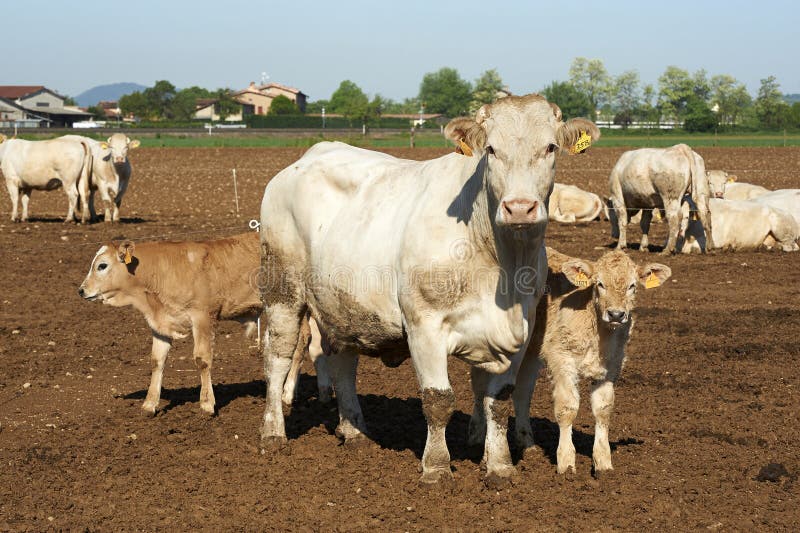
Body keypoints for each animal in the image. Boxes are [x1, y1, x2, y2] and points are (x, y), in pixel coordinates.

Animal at [257, 93, 600, 485]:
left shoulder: (520, 332)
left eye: (550, 147)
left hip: (342, 305)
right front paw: (436, 467)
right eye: (491, 150)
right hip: (282, 291)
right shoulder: (424, 325)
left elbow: (498, 402)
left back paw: (355, 431)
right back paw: (273, 433)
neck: (501, 261)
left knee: (343, 361)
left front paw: (499, 467)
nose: (519, 208)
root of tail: (309, 156)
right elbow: (438, 400)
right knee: (278, 358)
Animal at [501, 248, 672, 475]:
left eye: (632, 286)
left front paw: (603, 463)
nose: (616, 314)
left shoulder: (611, 367)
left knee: (522, 393)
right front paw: (566, 463)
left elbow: (603, 410)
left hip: (531, 352)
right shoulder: (561, 358)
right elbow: (567, 409)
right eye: (599, 284)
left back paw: (527, 444)